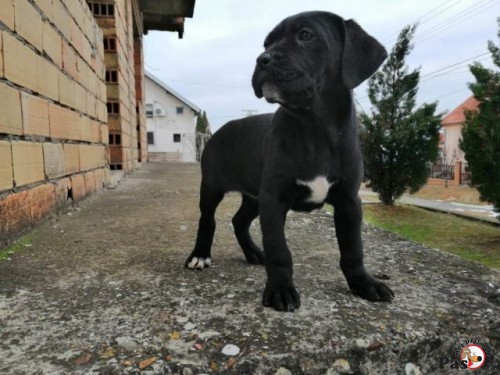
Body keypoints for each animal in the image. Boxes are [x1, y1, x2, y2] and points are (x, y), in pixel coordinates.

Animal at [185, 11, 394, 312]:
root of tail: (220, 130)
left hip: (254, 196)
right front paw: (280, 290)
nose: (262, 59)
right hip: (213, 186)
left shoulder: (349, 200)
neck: (315, 129)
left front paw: (364, 284)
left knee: (239, 221)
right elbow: (279, 250)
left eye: (305, 35)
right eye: (267, 43)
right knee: (208, 219)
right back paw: (200, 255)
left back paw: (253, 253)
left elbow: (353, 249)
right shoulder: (274, 198)